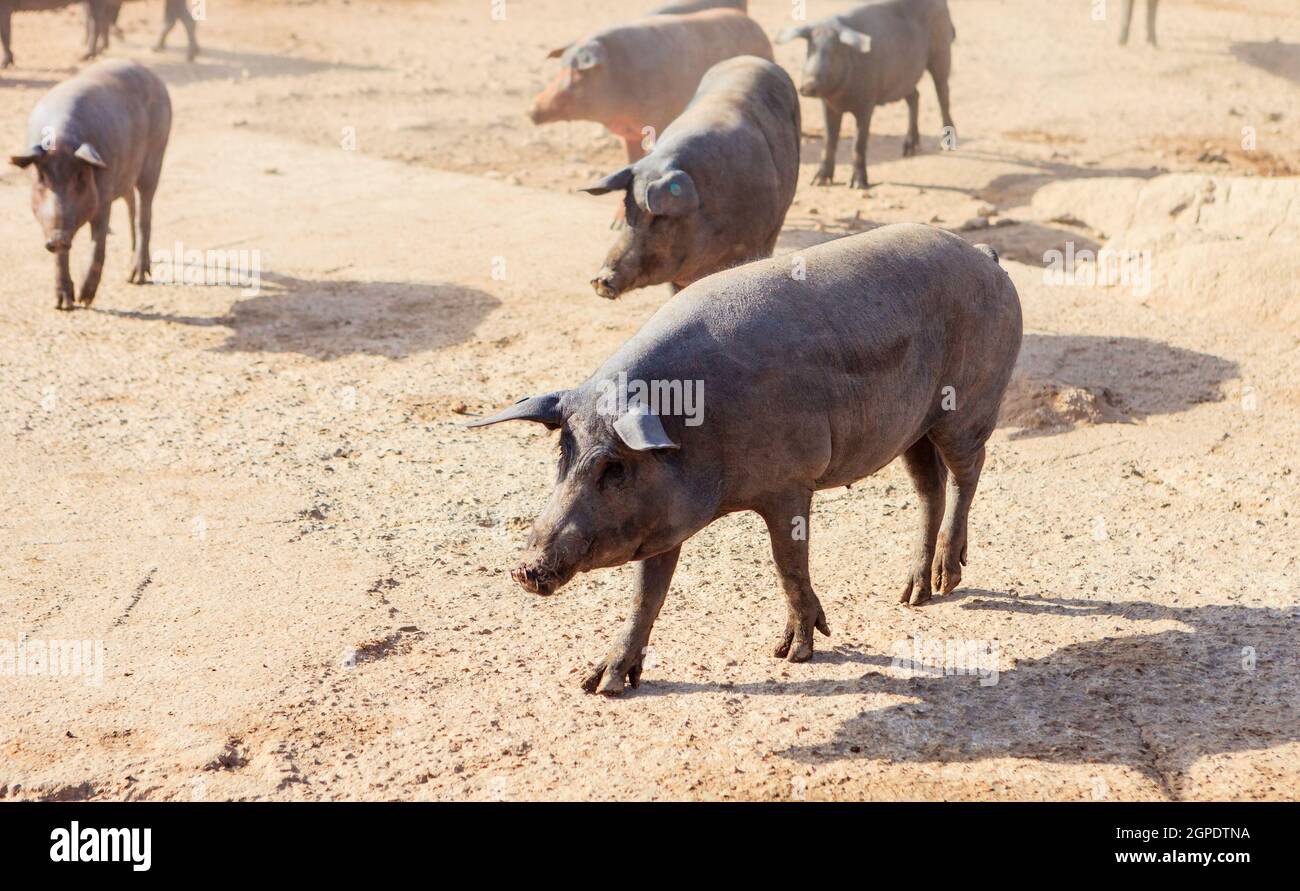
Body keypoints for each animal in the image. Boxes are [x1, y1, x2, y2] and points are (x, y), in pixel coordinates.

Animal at [10, 59, 172, 310]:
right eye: (42, 179)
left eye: (79, 177)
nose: (58, 237)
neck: (62, 140)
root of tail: (151, 74)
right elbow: (61, 256)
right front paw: (63, 304)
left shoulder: (103, 196)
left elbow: (99, 242)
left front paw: (85, 299)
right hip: (125, 177)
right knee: (131, 204)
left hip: (155, 157)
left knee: (144, 213)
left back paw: (136, 277)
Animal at [470, 223, 1022, 694]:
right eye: (563, 453)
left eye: (614, 467)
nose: (525, 569)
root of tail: (985, 256)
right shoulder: (662, 521)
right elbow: (646, 594)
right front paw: (600, 684)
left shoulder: (790, 482)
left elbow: (787, 565)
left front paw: (791, 654)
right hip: (913, 429)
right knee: (928, 488)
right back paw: (912, 595)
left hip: (968, 407)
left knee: (967, 473)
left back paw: (947, 578)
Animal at [529, 9, 773, 162]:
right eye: (560, 68)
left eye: (577, 72)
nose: (531, 109)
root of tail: (758, 27)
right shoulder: (629, 134)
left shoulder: (656, 122)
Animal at [776, 0, 956, 189]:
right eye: (810, 50)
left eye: (834, 52)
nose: (807, 86)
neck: (842, 95)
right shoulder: (828, 105)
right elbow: (829, 141)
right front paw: (818, 182)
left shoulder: (867, 103)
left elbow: (858, 143)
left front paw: (857, 184)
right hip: (905, 77)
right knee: (915, 96)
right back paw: (908, 150)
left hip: (942, 51)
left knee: (943, 94)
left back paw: (946, 145)